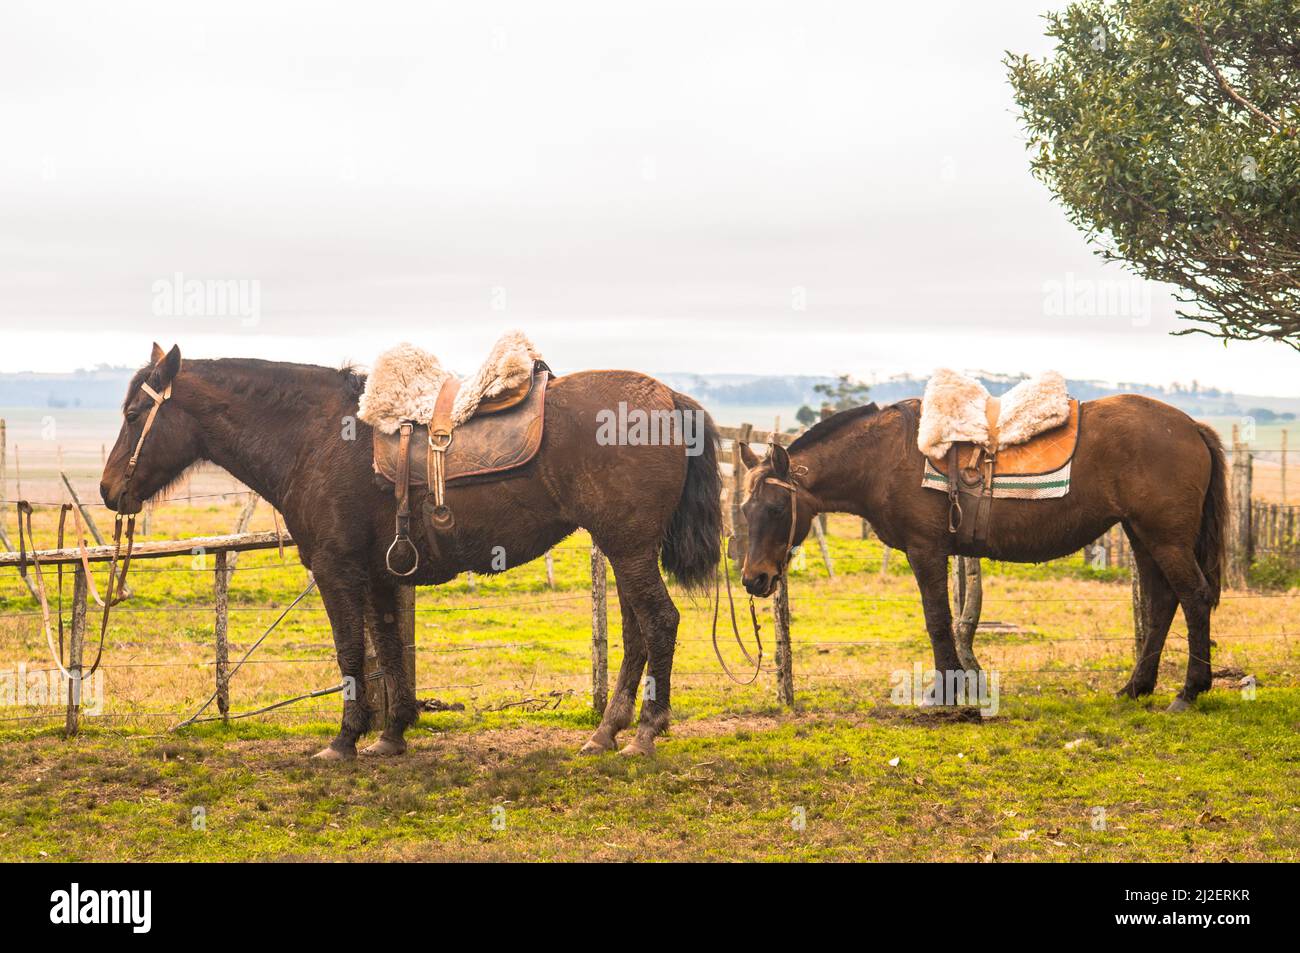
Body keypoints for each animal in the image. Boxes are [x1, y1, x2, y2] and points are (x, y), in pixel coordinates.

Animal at [100, 343, 721, 759]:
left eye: (133, 415)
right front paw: (392, 733)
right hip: (622, 549)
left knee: (660, 622)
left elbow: (352, 652)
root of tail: (668, 397)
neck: (316, 438)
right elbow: (389, 646)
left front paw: (345, 739)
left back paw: (645, 733)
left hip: (629, 549)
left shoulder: (337, 571)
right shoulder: (377, 575)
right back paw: (607, 731)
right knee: (638, 632)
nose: (108, 490)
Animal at [736, 396, 1228, 710]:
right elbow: (947, 620)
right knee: (1162, 603)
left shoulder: (926, 549)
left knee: (1194, 597)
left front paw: (945, 693)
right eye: (744, 509)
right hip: (1142, 536)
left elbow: (937, 621)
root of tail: (1191, 427)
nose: (752, 579)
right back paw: (1136, 688)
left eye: (776, 508)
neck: (887, 457)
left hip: (1165, 539)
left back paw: (1189, 691)